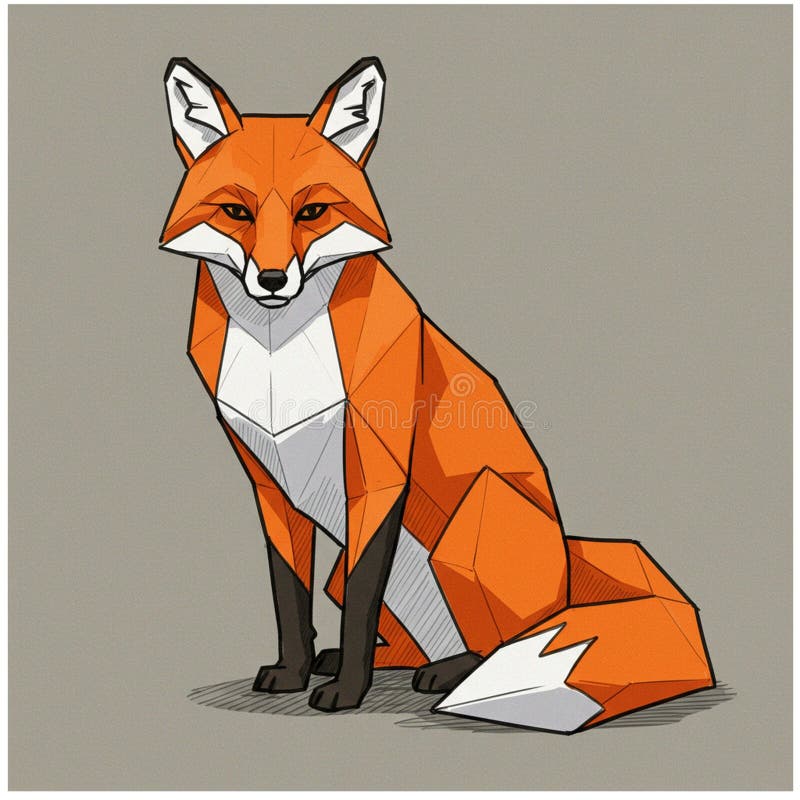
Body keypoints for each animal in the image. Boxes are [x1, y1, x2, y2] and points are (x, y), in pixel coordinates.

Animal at [160, 57, 714, 731]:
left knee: (495, 642)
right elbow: (289, 597)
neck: (277, 358)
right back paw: (354, 658)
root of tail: (570, 565)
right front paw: (294, 671)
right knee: (399, 637)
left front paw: (346, 694)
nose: (271, 279)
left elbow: (363, 599)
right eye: (235, 213)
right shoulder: (270, 487)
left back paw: (450, 674)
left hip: (470, 524)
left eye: (312, 211)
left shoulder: (377, 478)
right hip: (352, 571)